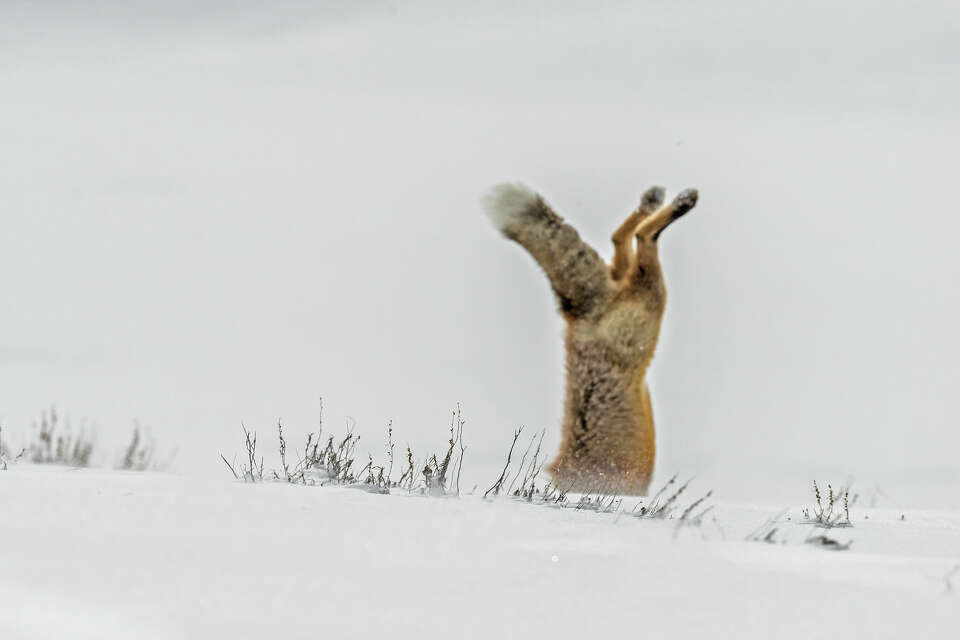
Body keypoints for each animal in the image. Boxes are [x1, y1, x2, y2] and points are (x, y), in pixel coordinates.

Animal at [482, 182, 699, 495]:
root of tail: (581, 316)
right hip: (649, 308)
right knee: (639, 238)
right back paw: (678, 203)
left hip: (638, 296)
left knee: (624, 241)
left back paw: (657, 201)